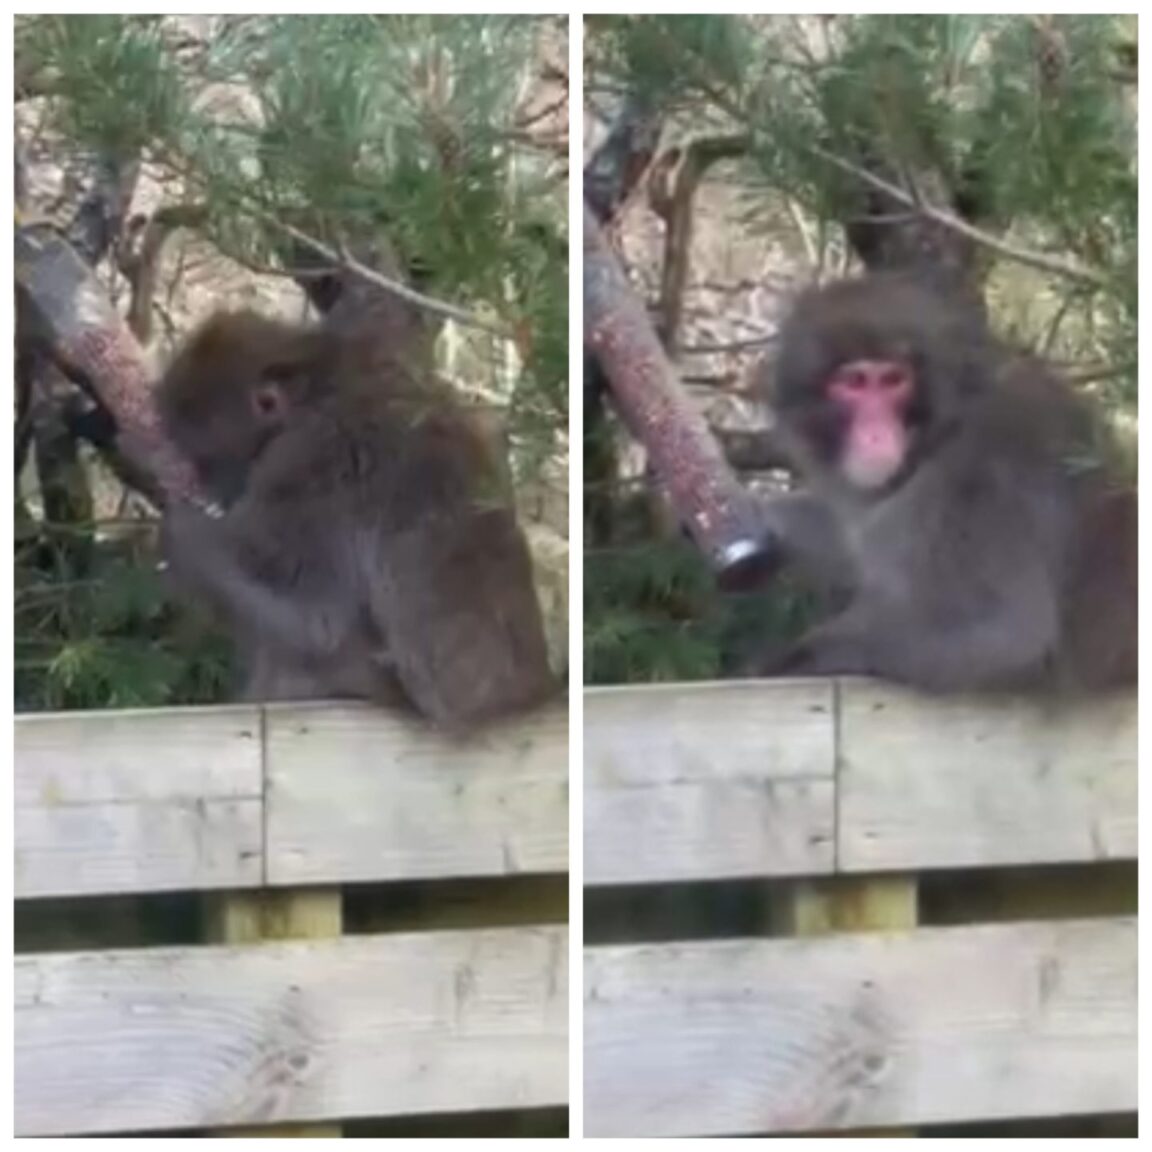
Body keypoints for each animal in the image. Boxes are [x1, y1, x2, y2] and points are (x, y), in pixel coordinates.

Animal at [155, 309, 556, 729]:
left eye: (201, 458)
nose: (211, 486)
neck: (315, 389)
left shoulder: (302, 461)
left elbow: (318, 623)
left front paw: (182, 532)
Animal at [744, 271, 1136, 694]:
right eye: (853, 382)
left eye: (893, 379)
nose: (876, 433)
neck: (938, 433)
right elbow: (854, 535)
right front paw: (760, 518)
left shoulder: (972, 481)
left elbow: (1007, 630)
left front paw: (794, 660)